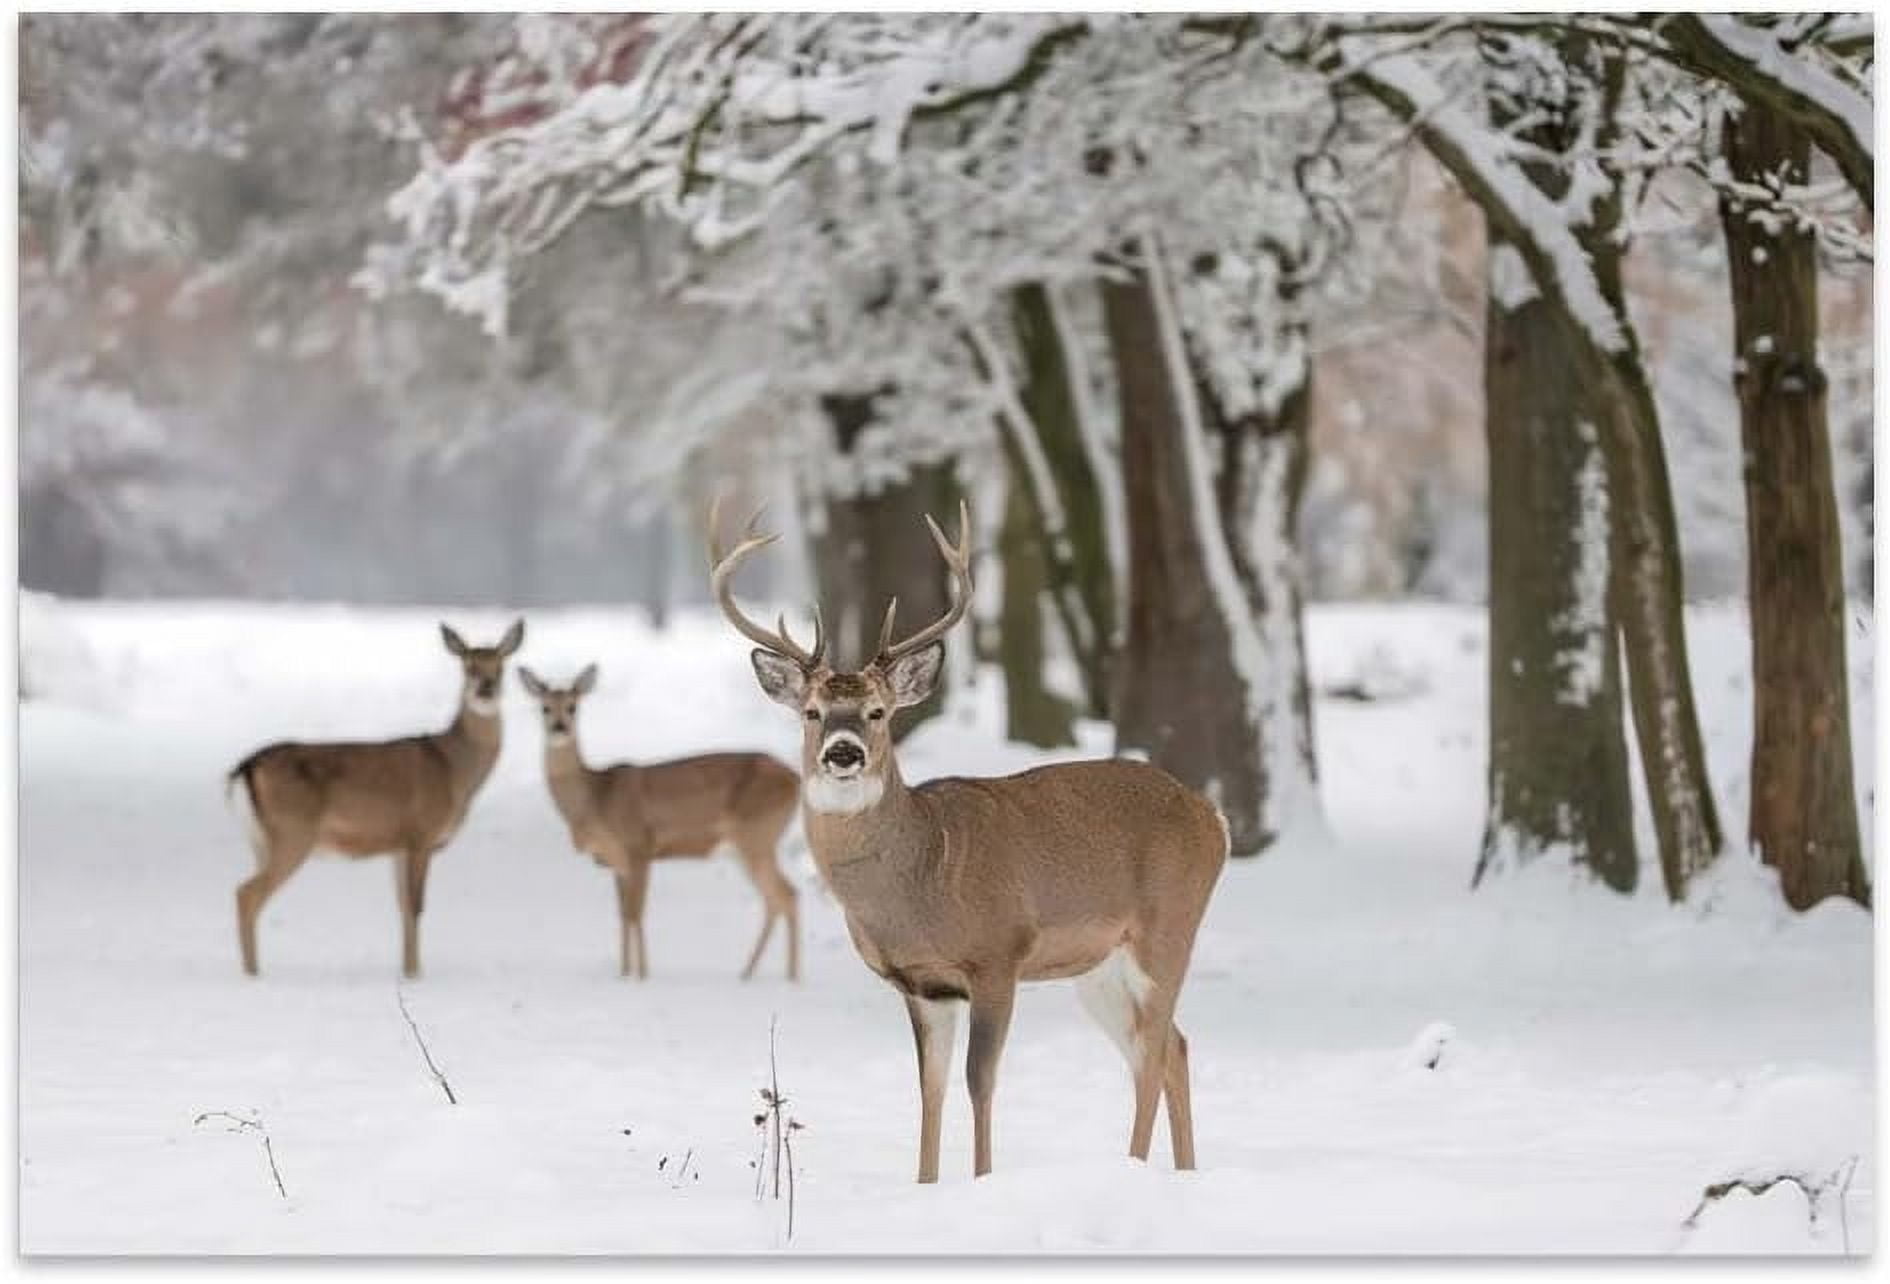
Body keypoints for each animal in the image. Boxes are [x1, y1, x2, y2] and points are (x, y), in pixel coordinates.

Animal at [226, 618, 524, 979]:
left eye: (501, 666)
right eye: (468, 666)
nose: (486, 688)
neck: (453, 769)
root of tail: (245, 767)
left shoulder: (399, 846)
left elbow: (402, 908)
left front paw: (408, 970)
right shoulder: (421, 834)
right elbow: (417, 906)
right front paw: (415, 975)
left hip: (260, 840)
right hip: (292, 832)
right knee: (246, 894)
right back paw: (253, 976)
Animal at [517, 661, 802, 982]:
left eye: (573, 706)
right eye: (544, 707)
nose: (559, 728)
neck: (596, 798)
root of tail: (795, 778)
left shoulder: (639, 845)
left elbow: (637, 913)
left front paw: (642, 977)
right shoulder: (616, 862)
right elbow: (623, 915)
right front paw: (624, 974)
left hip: (757, 834)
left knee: (786, 894)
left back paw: (787, 979)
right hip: (748, 844)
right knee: (777, 898)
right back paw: (750, 975)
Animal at [709, 500, 1228, 1183]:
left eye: (878, 712)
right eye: (812, 712)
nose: (843, 753)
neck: (921, 876)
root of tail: (1212, 816)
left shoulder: (999, 956)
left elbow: (981, 1081)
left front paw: (982, 1179)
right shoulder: (922, 986)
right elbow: (929, 1088)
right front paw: (926, 1184)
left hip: (1168, 926)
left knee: (1152, 1052)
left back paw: (1134, 1167)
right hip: (1100, 968)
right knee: (1173, 1047)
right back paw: (1182, 1172)